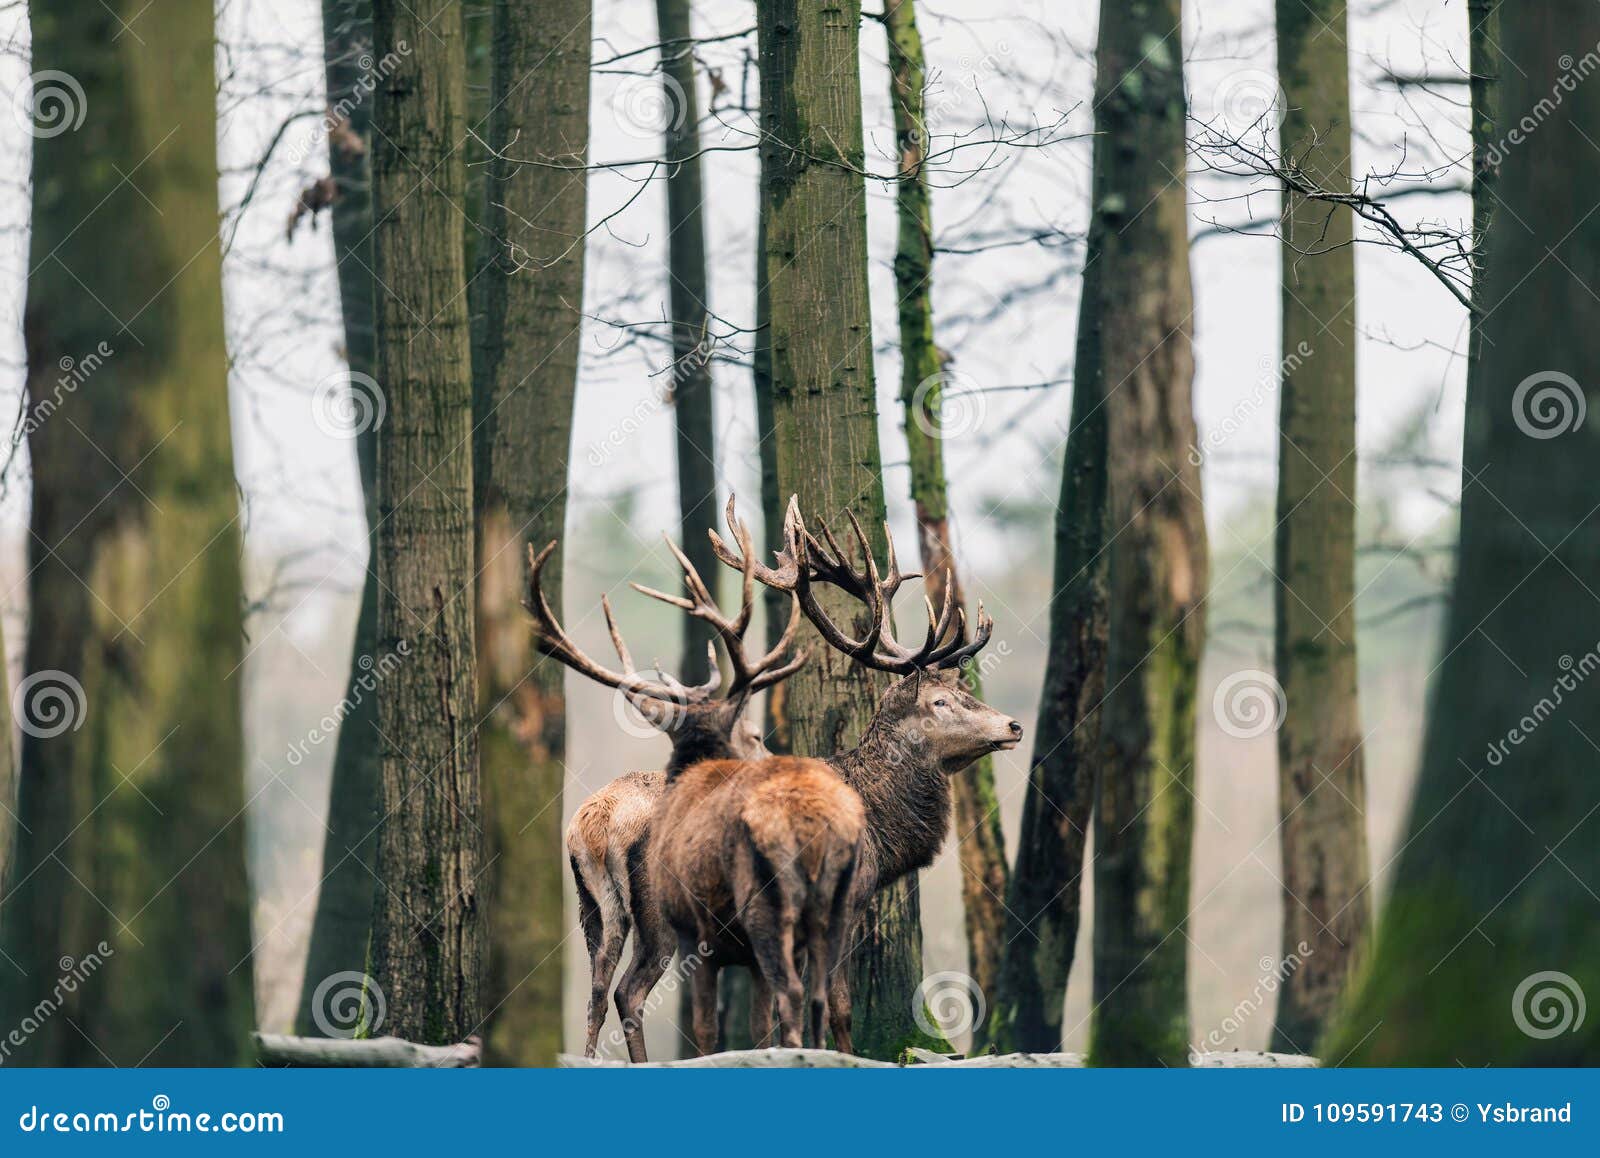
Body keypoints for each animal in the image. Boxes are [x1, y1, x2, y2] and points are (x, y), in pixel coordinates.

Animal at [524, 540, 802, 1060]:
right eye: (755, 736)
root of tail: (597, 825)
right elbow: (759, 1022)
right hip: (659, 915)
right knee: (628, 990)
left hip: (594, 906)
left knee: (597, 987)